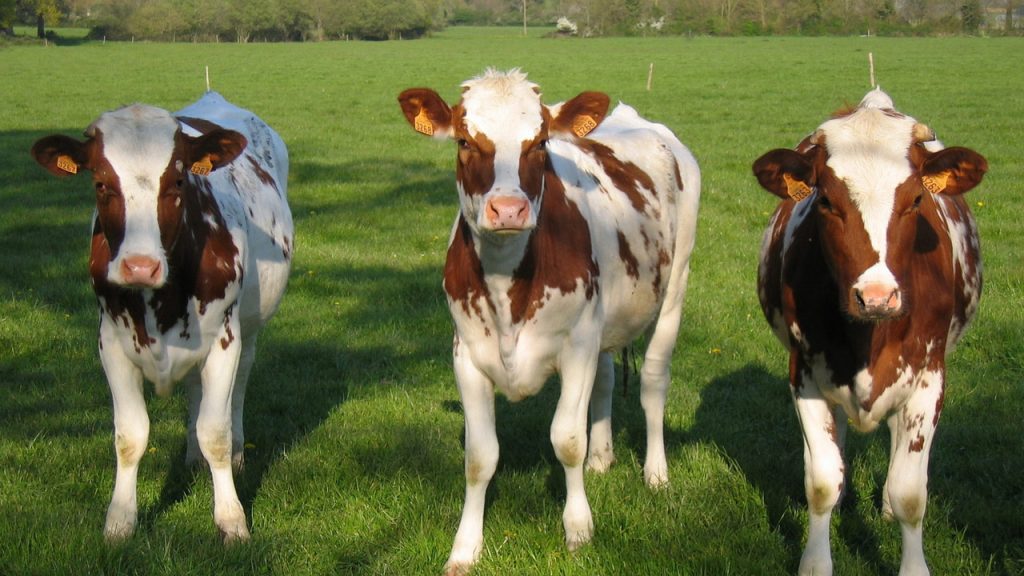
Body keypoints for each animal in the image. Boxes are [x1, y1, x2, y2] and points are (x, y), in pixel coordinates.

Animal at [30, 91, 293, 542]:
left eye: (177, 182)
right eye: (101, 183)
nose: (139, 266)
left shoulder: (224, 339)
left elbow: (216, 432)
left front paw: (231, 520)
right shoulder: (111, 343)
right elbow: (130, 435)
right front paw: (120, 521)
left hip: (250, 328)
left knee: (238, 389)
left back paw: (236, 455)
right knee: (195, 393)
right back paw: (191, 457)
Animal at [398, 69, 700, 573]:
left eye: (539, 143)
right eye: (464, 141)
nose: (508, 209)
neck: (507, 283)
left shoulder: (576, 347)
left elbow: (566, 440)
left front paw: (578, 529)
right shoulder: (467, 355)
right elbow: (479, 456)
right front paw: (465, 548)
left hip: (675, 287)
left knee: (654, 382)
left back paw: (656, 472)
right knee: (606, 378)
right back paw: (603, 455)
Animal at [752, 88, 987, 576]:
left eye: (916, 200)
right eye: (825, 201)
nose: (876, 297)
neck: (868, 340)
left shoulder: (929, 379)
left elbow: (911, 491)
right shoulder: (805, 375)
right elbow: (821, 480)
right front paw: (816, 561)